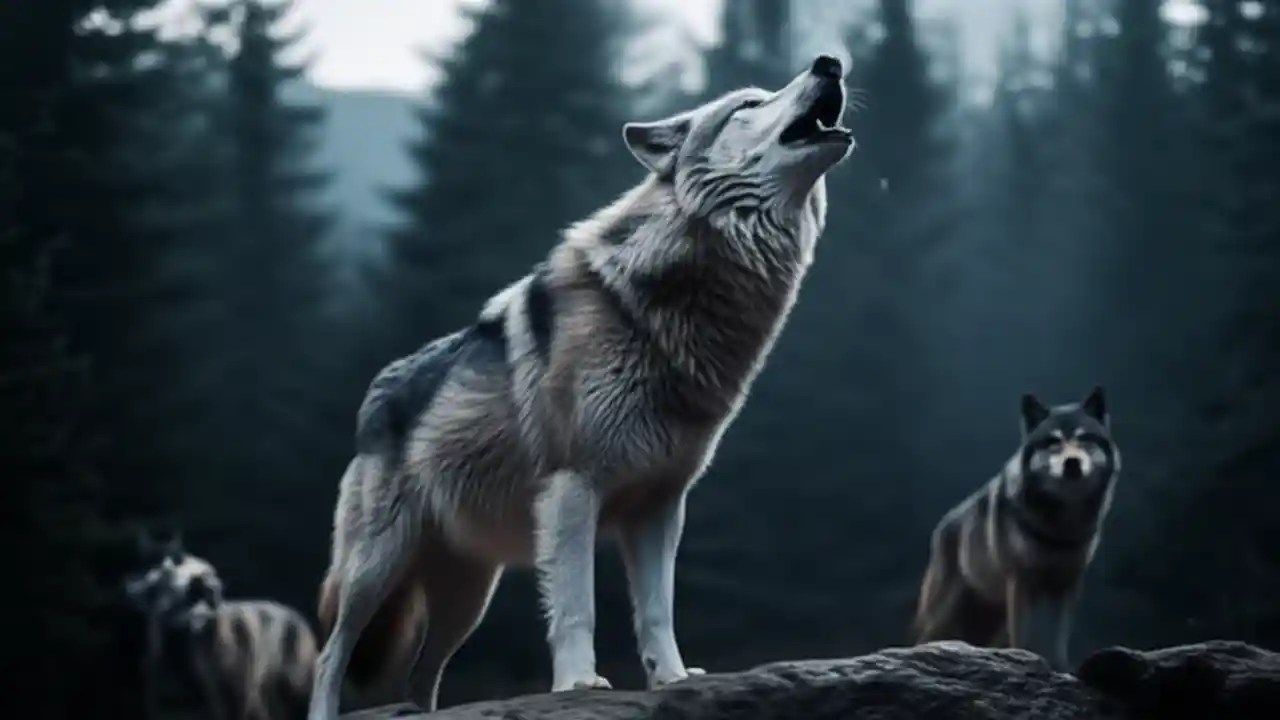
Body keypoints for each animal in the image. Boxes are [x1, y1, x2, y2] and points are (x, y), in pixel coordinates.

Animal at [308, 55, 855, 718]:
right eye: (748, 104)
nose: (829, 62)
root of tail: (377, 388)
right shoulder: (574, 488)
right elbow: (577, 606)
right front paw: (578, 684)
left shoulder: (660, 504)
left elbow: (657, 609)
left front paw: (674, 678)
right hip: (377, 567)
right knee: (330, 654)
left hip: (468, 597)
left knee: (421, 676)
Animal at [912, 387, 1121, 671]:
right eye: (1053, 442)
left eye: (1084, 439)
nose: (1072, 462)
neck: (1060, 525)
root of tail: (943, 524)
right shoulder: (1023, 581)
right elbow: (1027, 634)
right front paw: (1030, 660)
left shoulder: (1066, 583)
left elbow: (1057, 635)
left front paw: (1059, 667)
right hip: (951, 611)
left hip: (989, 616)